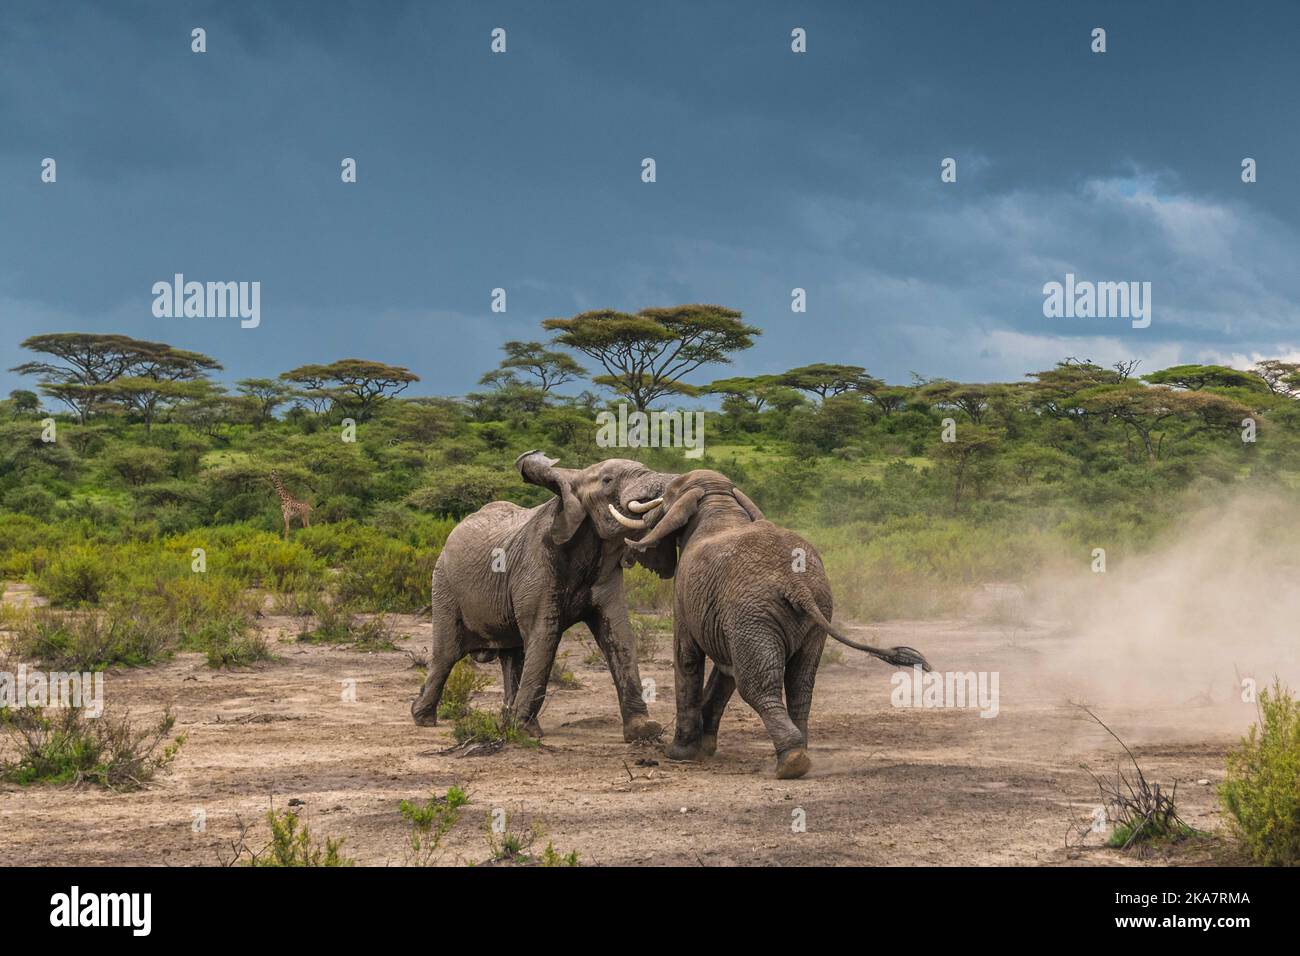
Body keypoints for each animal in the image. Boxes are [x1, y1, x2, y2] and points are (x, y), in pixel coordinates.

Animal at [410, 450, 679, 742]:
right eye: (608, 480)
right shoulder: (536, 564)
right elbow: (544, 636)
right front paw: (524, 732)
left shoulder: (606, 574)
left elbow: (619, 635)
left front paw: (645, 731)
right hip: (444, 584)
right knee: (447, 653)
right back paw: (423, 718)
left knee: (513, 656)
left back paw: (504, 718)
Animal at [623, 469, 931, 779]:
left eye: (669, 494)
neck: (718, 501)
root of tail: (795, 582)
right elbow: (726, 669)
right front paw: (705, 749)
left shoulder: (686, 597)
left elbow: (687, 658)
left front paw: (680, 754)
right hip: (808, 612)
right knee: (801, 683)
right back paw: (800, 753)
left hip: (753, 612)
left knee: (757, 687)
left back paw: (791, 761)